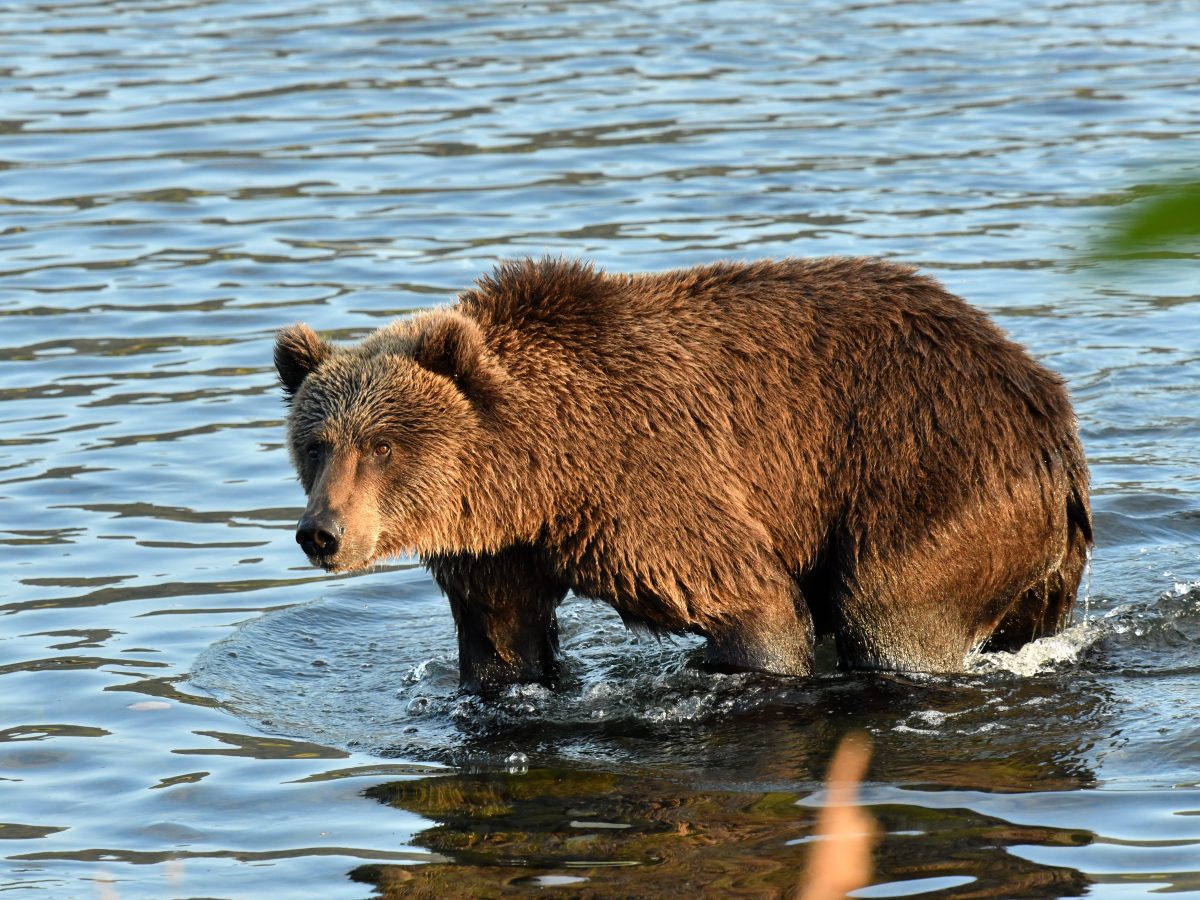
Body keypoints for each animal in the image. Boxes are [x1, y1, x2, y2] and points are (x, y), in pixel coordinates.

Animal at [275, 257, 1092, 693]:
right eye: (315, 444)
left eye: (382, 446)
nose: (322, 533)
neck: (535, 480)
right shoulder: (499, 552)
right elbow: (502, 643)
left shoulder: (644, 481)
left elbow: (754, 606)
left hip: (925, 472)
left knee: (891, 610)